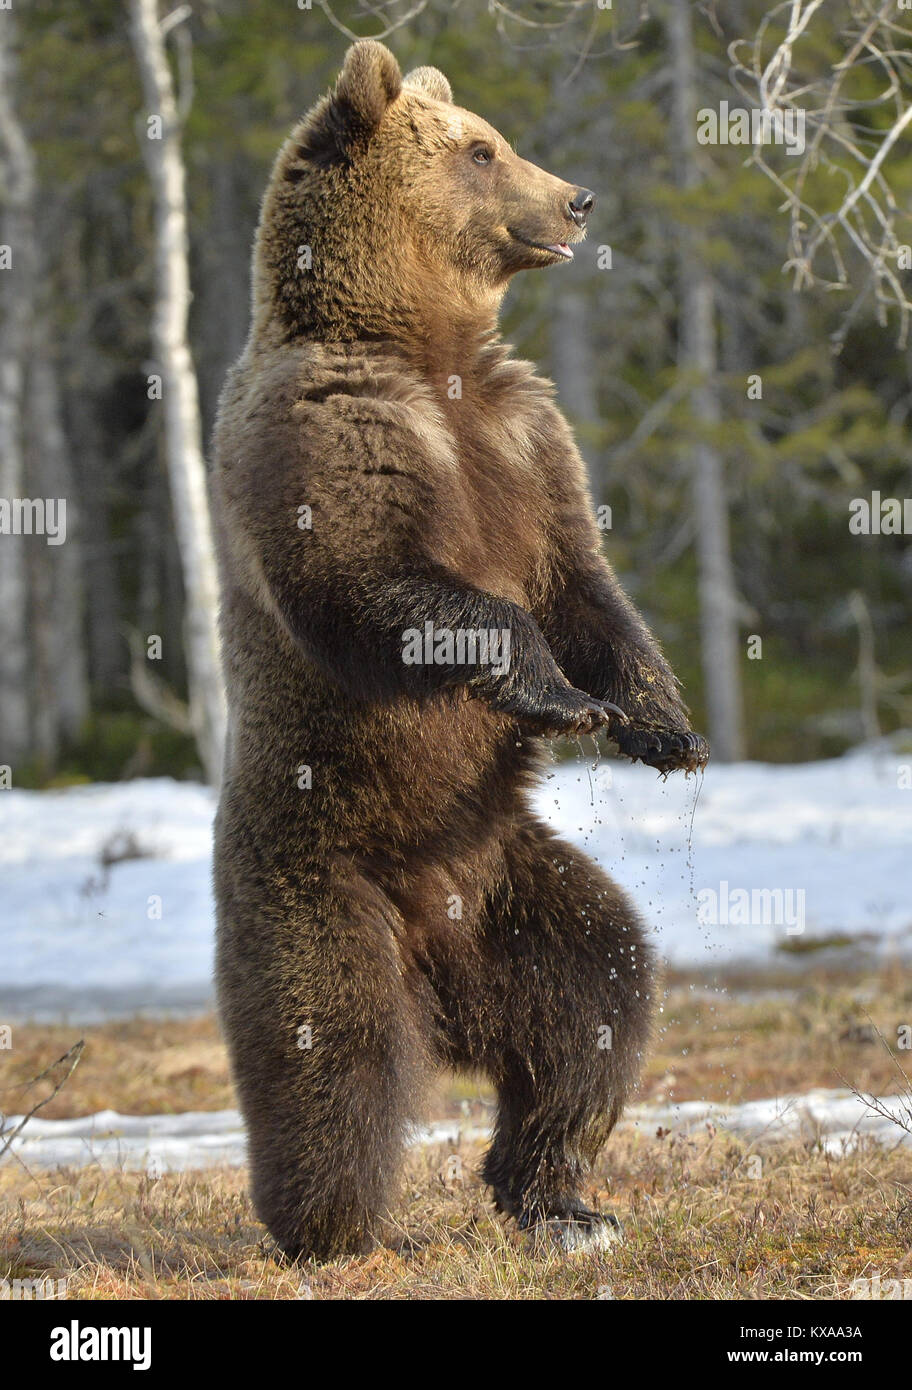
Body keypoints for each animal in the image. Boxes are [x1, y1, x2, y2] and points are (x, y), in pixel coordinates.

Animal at [211, 39, 707, 1263]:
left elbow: (587, 586)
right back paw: (331, 1227)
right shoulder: (330, 433)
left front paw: (660, 724)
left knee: (598, 999)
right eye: (482, 148)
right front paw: (559, 698)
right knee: (330, 1060)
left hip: (510, 885)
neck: (423, 349)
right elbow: (377, 582)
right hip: (318, 881)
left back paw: (563, 1198)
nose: (576, 198)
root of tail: (438, 981)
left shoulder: (525, 440)